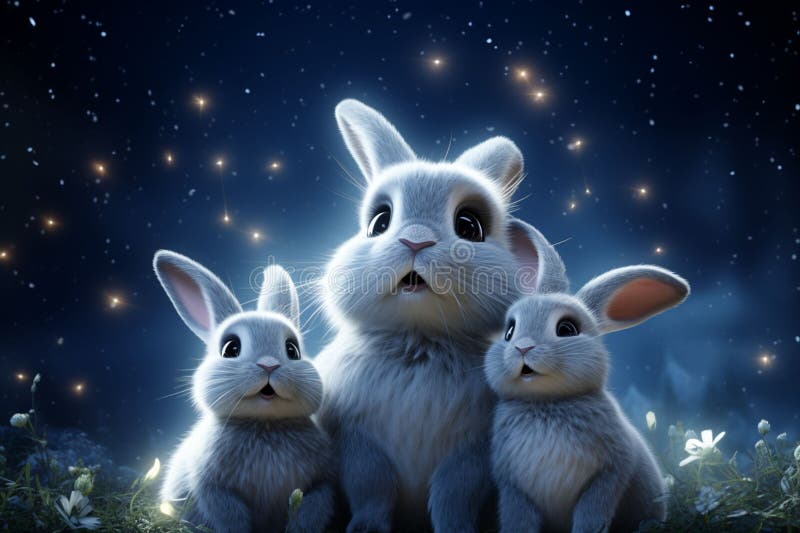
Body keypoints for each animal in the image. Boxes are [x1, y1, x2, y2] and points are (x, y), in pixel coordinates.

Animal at [153, 250, 335, 533]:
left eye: (292, 350)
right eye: (230, 348)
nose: (269, 364)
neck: (265, 424)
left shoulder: (321, 483)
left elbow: (312, 508)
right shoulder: (213, 488)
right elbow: (229, 516)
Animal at [313, 98, 570, 532]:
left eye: (469, 226)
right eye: (379, 222)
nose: (415, 240)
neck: (419, 341)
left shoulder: (470, 455)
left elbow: (453, 496)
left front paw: (457, 530)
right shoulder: (361, 445)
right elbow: (373, 489)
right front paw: (366, 528)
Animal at [485, 265, 690, 533]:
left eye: (566, 329)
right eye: (509, 331)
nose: (522, 347)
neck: (546, 401)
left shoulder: (608, 474)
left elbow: (591, 513)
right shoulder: (513, 487)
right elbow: (518, 520)